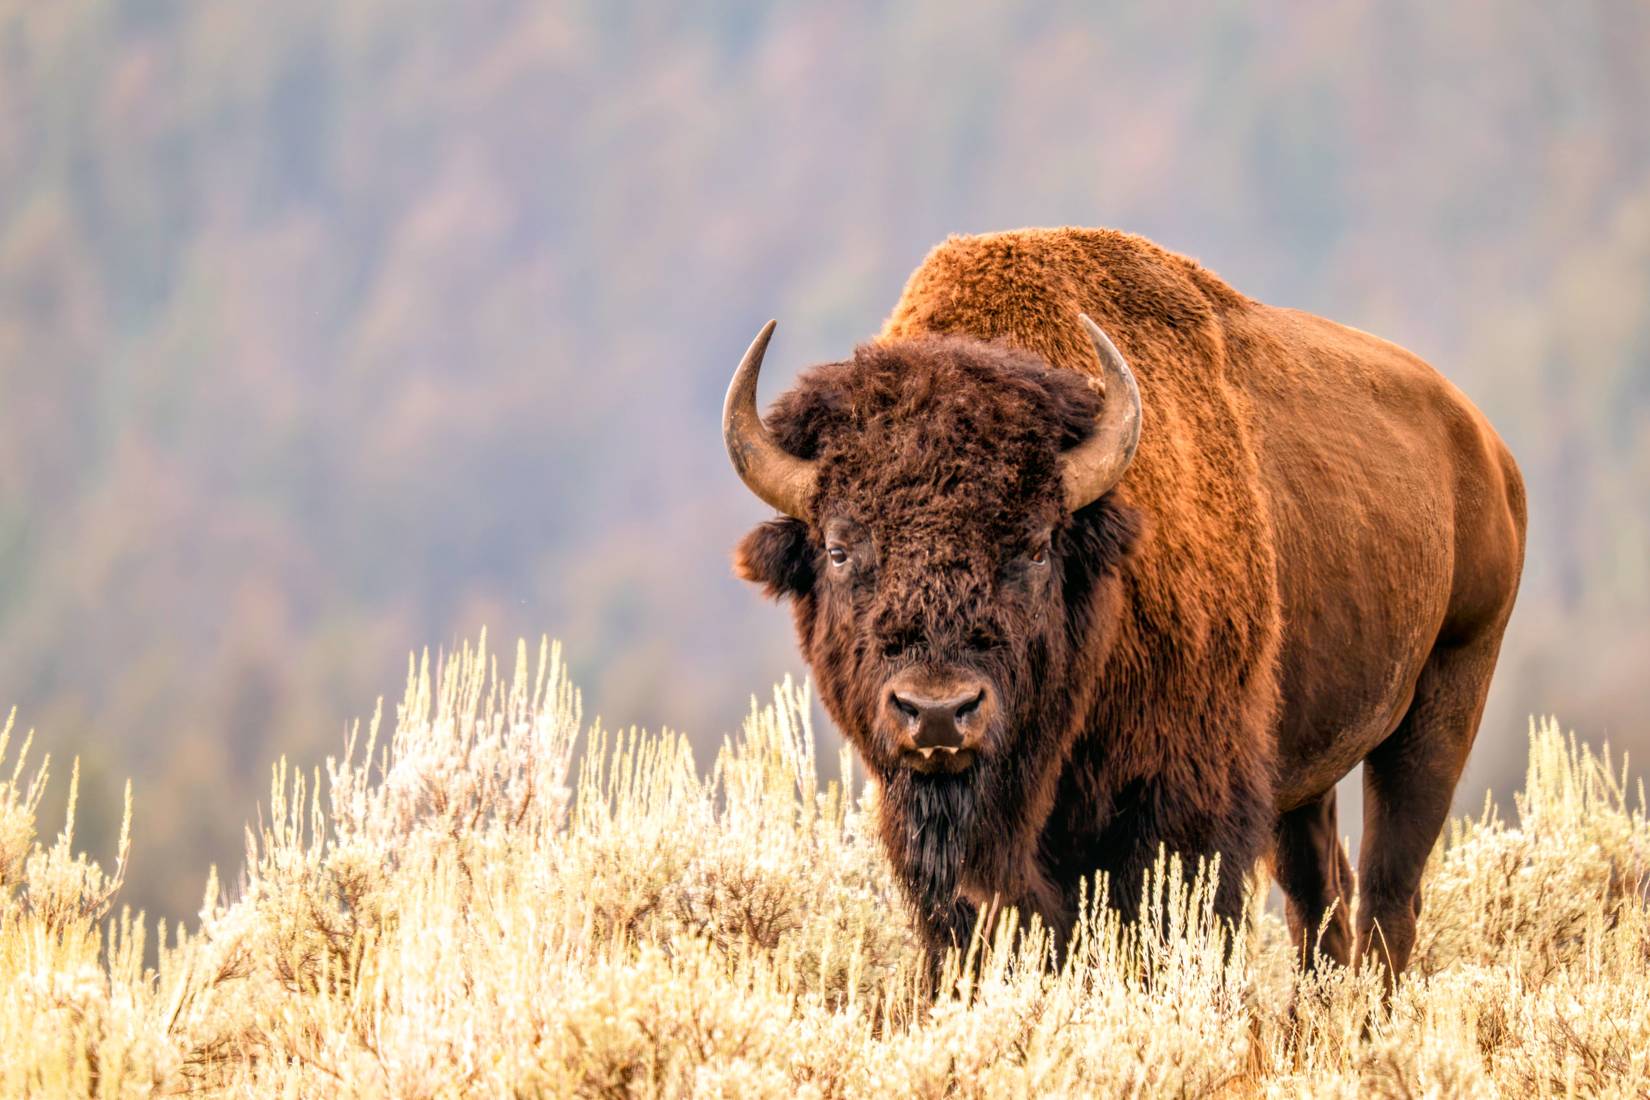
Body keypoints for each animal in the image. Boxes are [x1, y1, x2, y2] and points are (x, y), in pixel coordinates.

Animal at [724, 227, 1525, 982]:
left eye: (1036, 546)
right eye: (838, 548)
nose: (939, 713)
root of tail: (1486, 449)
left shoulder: (1185, 808)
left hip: (1446, 698)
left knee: (1390, 896)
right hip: (1308, 768)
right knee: (1319, 897)